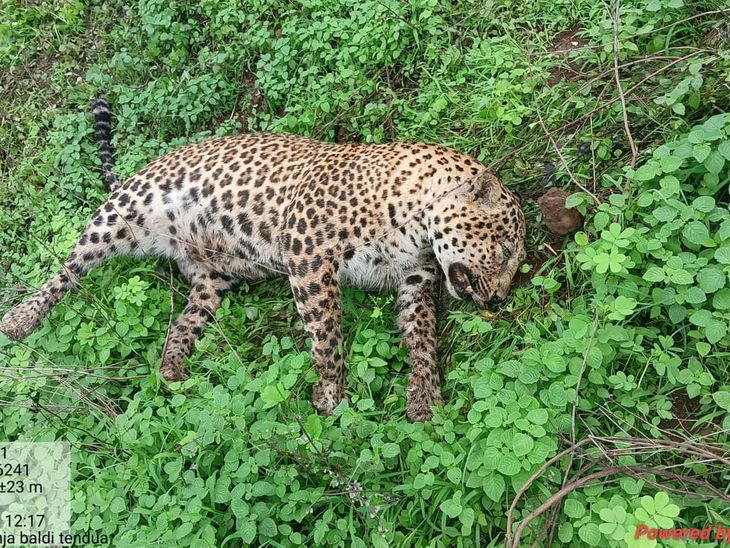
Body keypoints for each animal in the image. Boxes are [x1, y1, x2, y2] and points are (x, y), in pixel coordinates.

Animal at [0, 99, 526, 421]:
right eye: (503, 249)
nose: (500, 298)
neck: (413, 218)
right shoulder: (309, 256)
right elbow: (327, 337)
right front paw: (330, 397)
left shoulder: (415, 279)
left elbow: (422, 339)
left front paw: (424, 398)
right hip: (118, 218)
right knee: (66, 270)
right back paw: (21, 319)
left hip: (211, 281)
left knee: (182, 324)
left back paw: (174, 372)